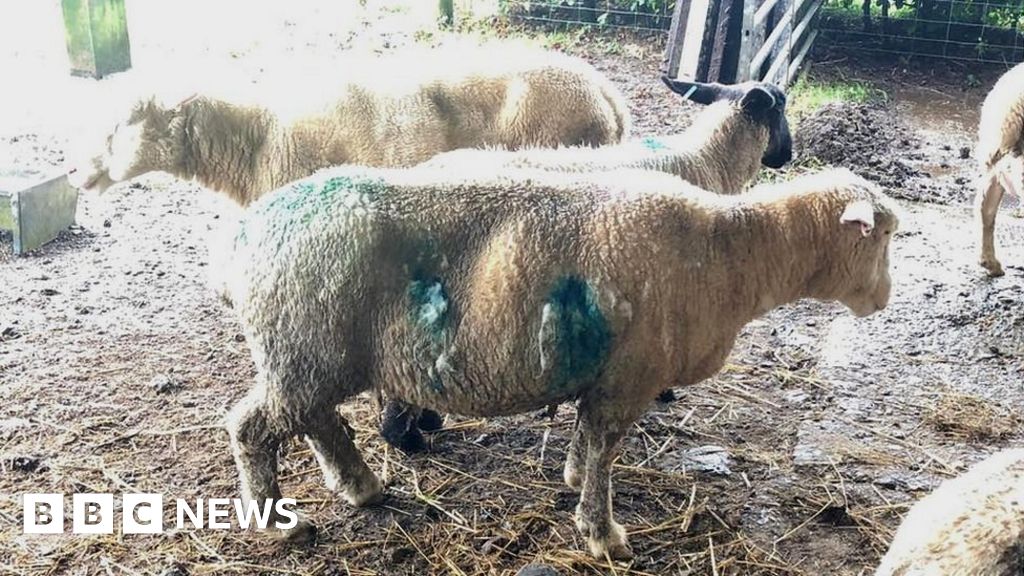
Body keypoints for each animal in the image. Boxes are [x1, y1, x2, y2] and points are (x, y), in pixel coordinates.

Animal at [217, 164, 898, 559]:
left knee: (316, 421)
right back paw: (280, 523)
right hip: (303, 347)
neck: (732, 251)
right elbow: (605, 452)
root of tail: (249, 231)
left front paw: (571, 480)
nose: (886, 299)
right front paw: (601, 533)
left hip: (307, 356)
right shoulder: (630, 377)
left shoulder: (608, 375)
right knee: (254, 427)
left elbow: (587, 438)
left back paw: (361, 486)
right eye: (885, 236)